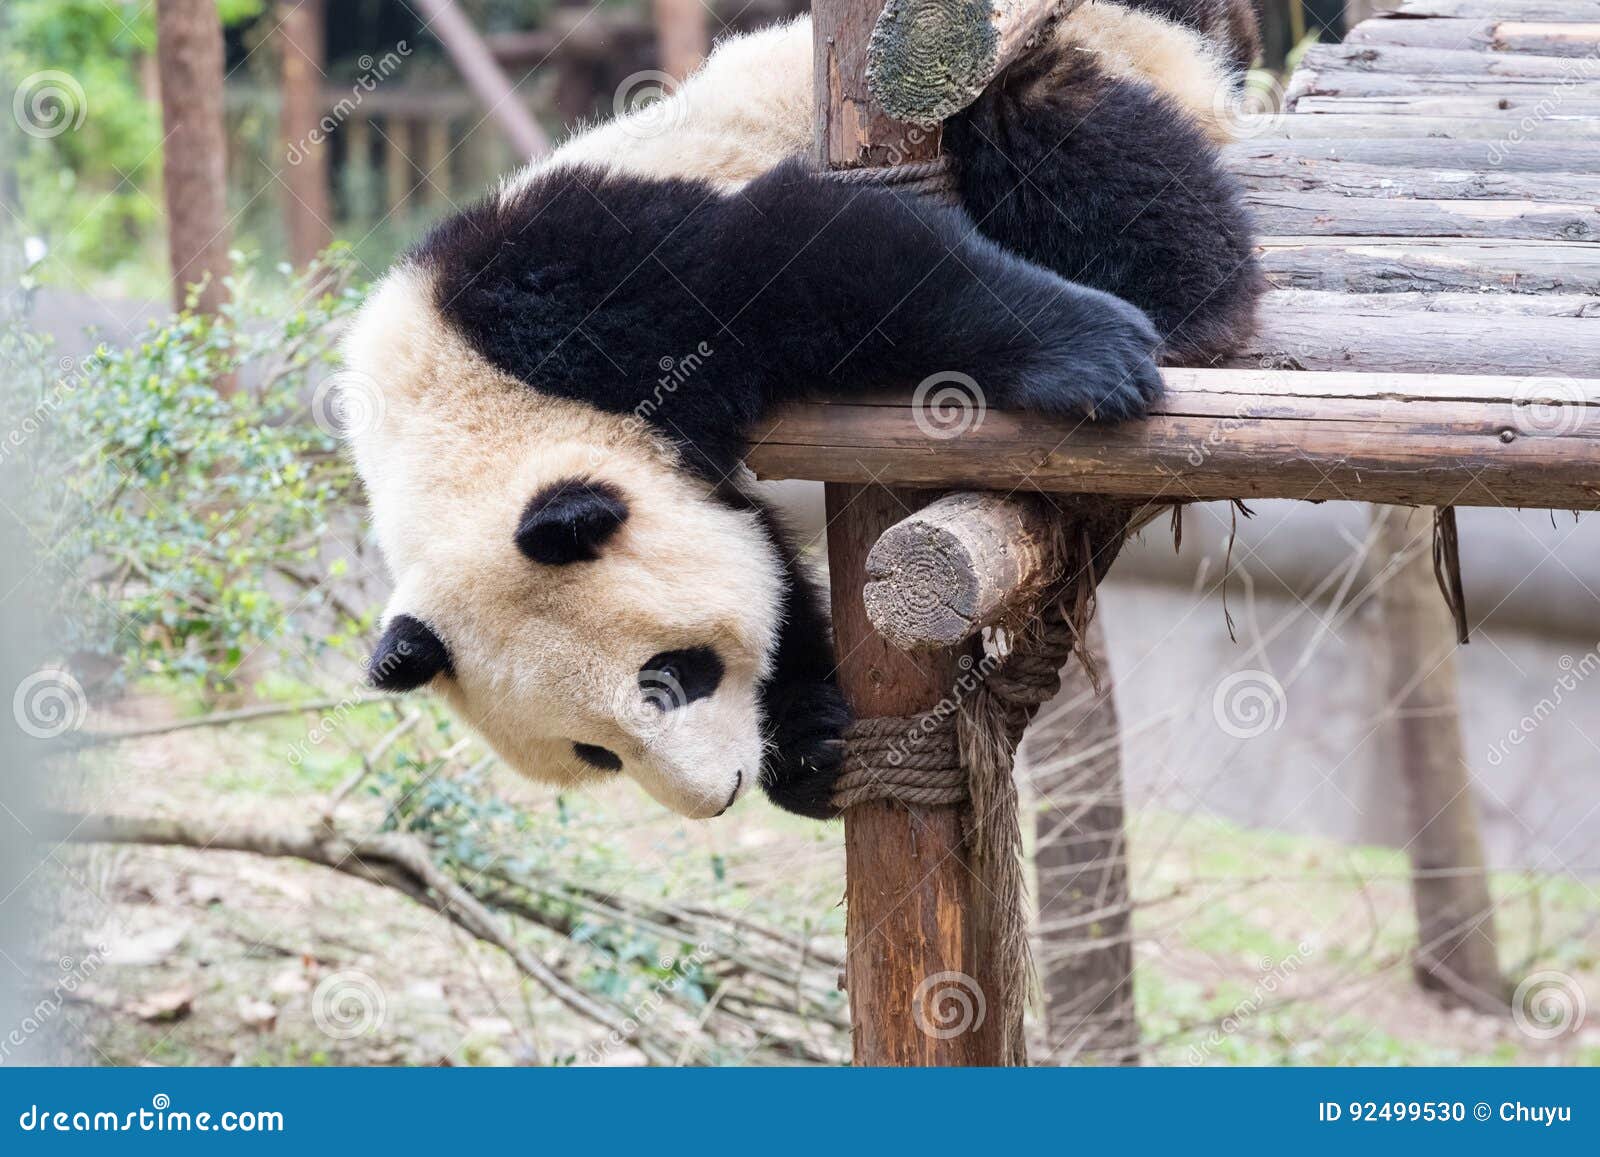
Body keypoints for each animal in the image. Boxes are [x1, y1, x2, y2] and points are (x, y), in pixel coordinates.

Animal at [340, 0, 1263, 822]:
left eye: (667, 678)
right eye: (595, 752)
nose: (720, 795)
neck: (461, 417)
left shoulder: (575, 294)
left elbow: (810, 255)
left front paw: (1089, 355)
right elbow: (768, 564)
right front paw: (812, 747)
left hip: (1053, 63)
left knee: (1074, 135)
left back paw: (1185, 305)